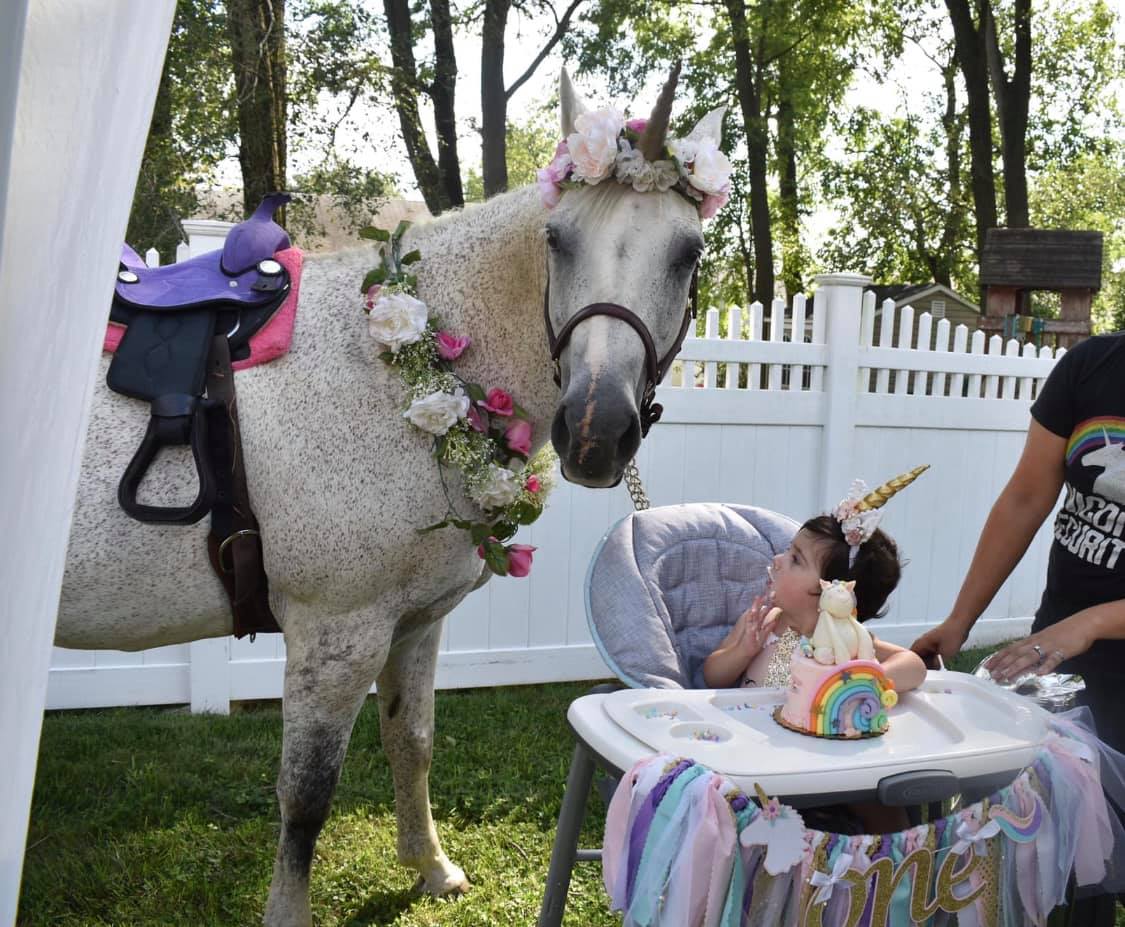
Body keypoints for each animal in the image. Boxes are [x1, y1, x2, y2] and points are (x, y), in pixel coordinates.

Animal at [53, 67, 718, 927]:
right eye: (557, 239)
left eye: (687, 251)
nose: (594, 430)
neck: (396, 360)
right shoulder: (336, 633)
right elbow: (306, 795)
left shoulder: (414, 622)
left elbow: (413, 741)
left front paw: (429, 865)